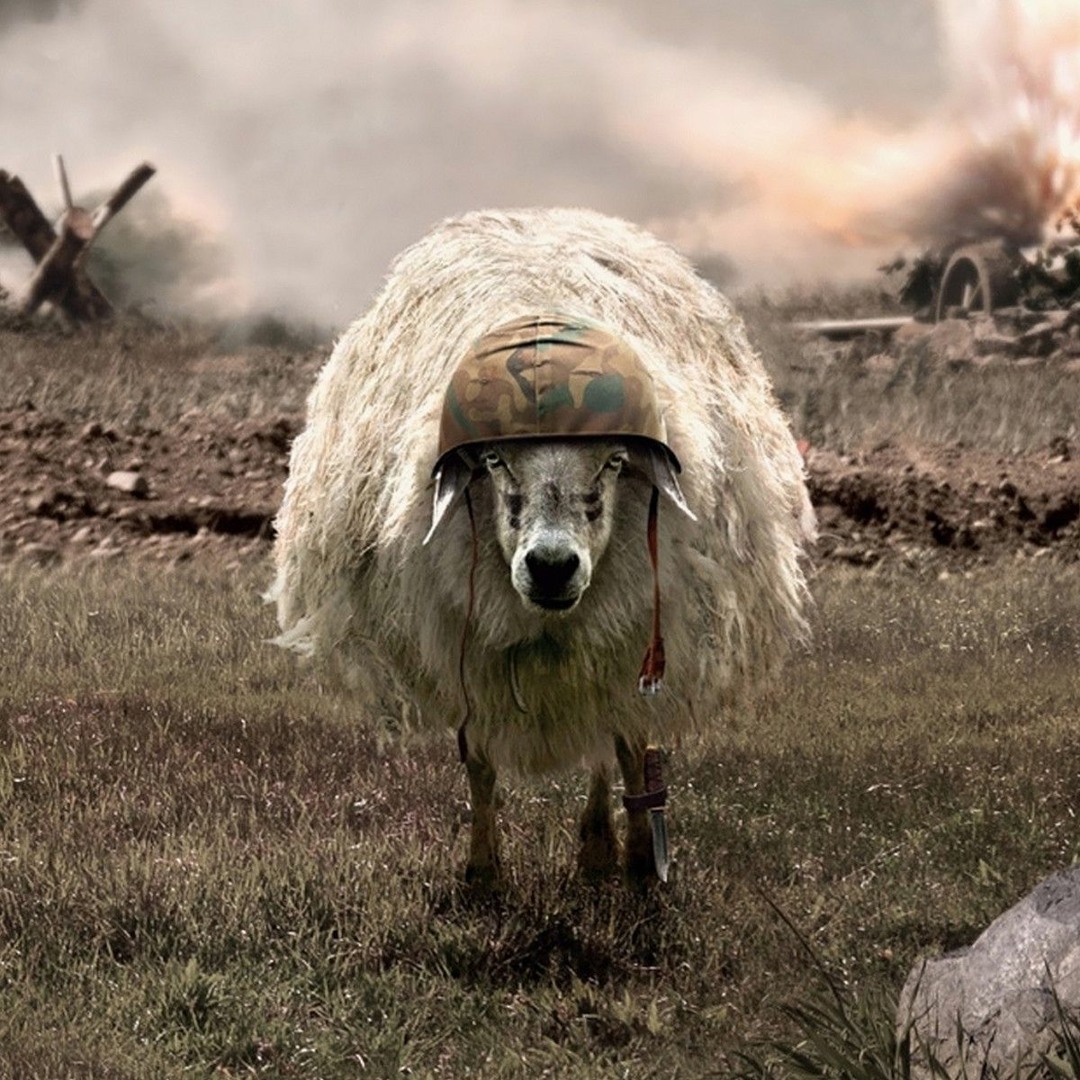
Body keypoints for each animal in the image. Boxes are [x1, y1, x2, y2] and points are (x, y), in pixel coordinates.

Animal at [269, 206, 814, 886]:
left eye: (614, 461)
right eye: (495, 460)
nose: (552, 567)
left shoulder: (633, 633)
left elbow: (630, 745)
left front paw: (639, 861)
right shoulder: (467, 645)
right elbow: (479, 765)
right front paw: (483, 873)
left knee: (611, 739)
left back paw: (600, 845)